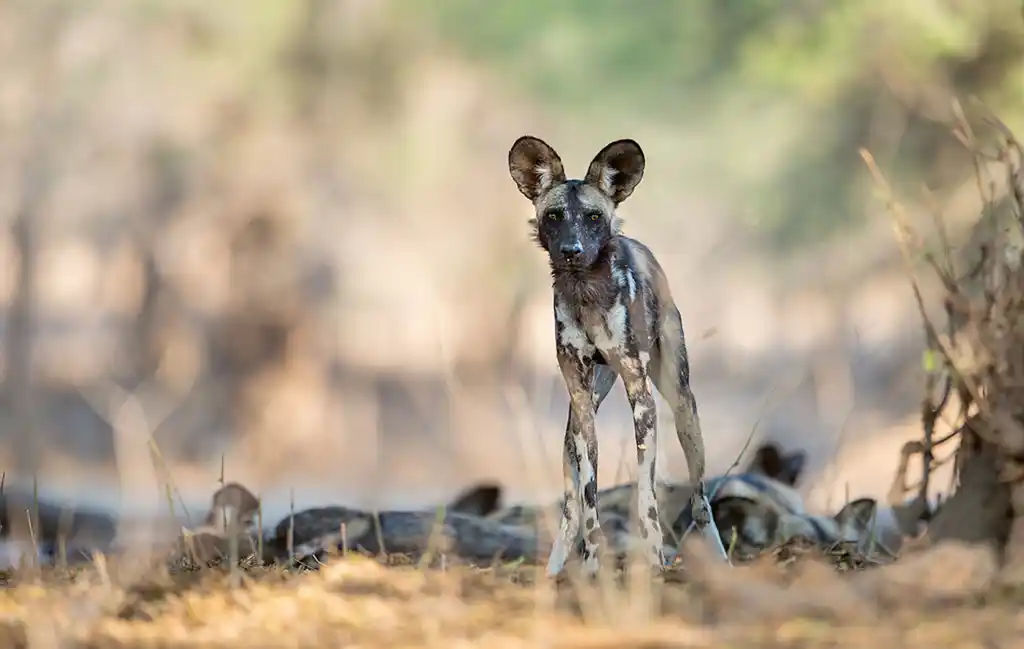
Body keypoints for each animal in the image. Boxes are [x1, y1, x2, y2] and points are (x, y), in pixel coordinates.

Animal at [507, 135, 729, 576]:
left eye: (593, 217)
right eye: (554, 216)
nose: (571, 250)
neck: (586, 293)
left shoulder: (642, 399)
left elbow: (646, 491)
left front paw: (654, 559)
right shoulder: (581, 405)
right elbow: (589, 493)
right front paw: (593, 561)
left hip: (683, 407)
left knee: (700, 501)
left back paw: (720, 562)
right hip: (576, 420)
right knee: (570, 504)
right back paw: (555, 569)